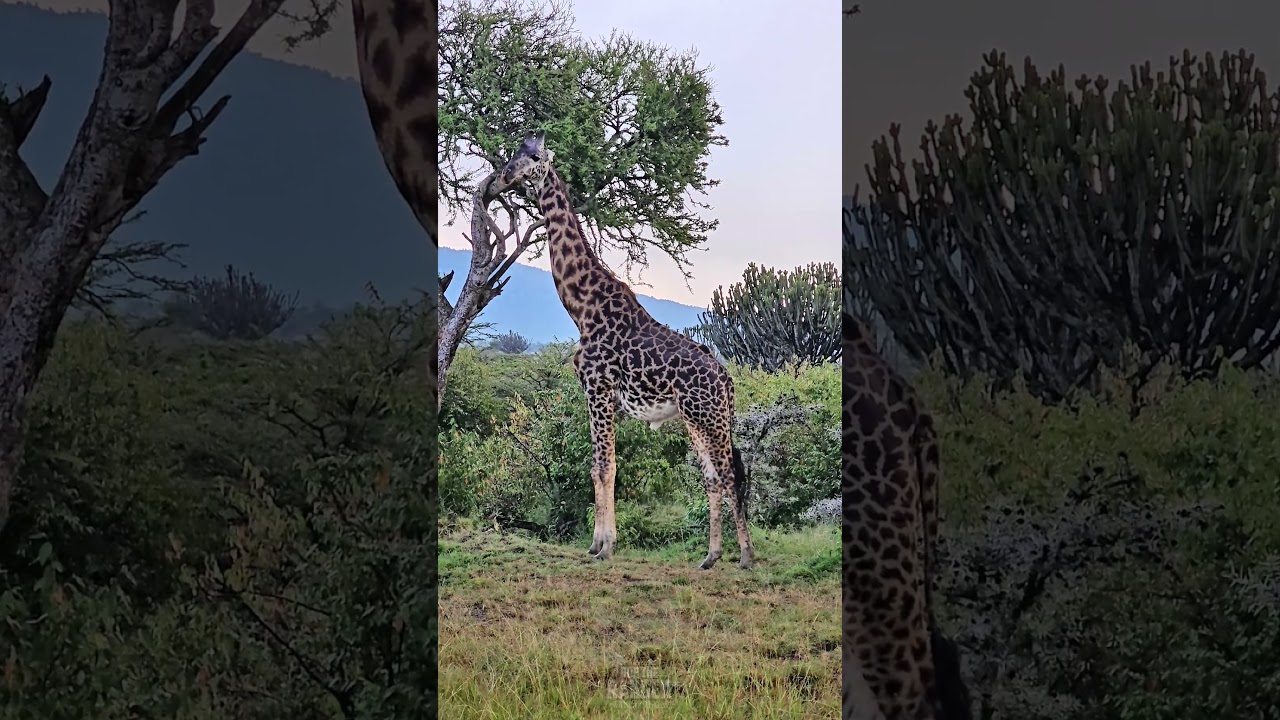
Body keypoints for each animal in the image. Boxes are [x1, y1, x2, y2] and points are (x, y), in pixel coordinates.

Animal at [494, 131, 754, 570]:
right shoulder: (598, 396)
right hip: (696, 418)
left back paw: (747, 555)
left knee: (729, 472)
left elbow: (604, 466)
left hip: (710, 416)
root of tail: (727, 380)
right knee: (712, 475)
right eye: (514, 152)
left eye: (531, 157)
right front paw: (597, 543)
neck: (583, 309)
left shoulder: (598, 389)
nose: (502, 177)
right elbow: (598, 466)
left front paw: (604, 545)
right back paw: (711, 556)